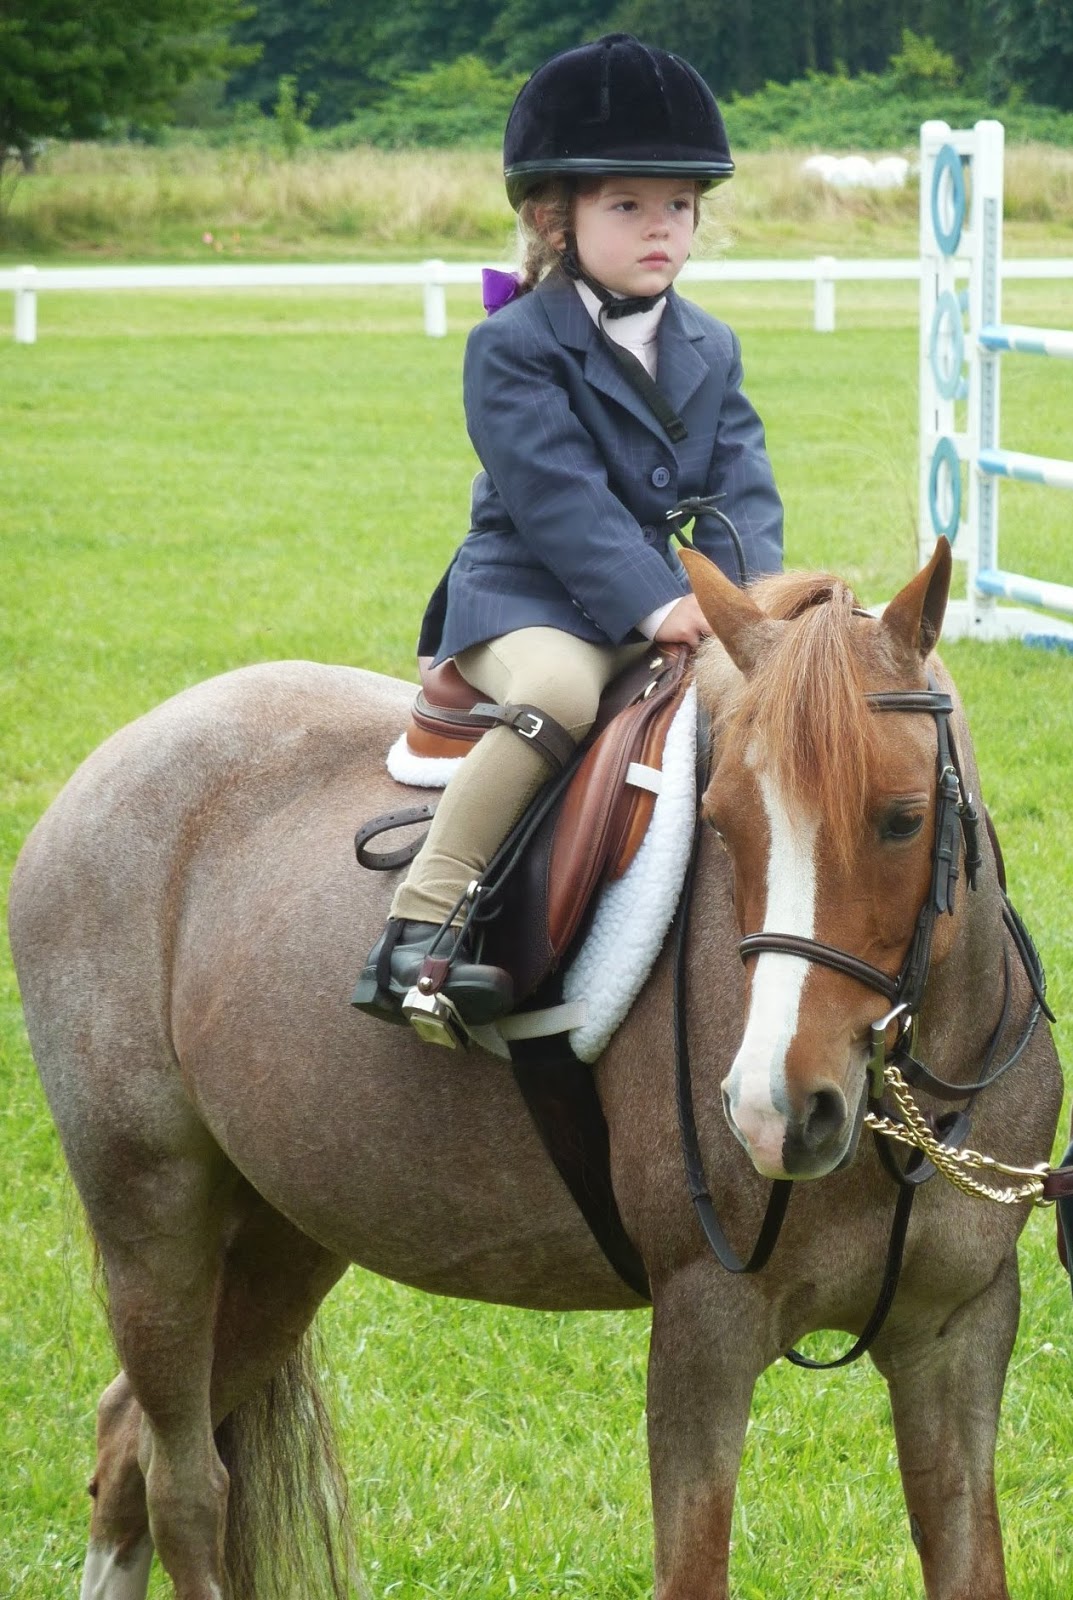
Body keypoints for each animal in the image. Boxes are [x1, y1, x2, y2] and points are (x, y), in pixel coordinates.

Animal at [9, 536, 1063, 1600]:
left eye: (902, 819)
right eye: (722, 819)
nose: (774, 1109)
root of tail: (114, 761)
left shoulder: (957, 1335)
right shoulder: (704, 1334)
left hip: (281, 1238)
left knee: (127, 1438)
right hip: (152, 1219)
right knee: (184, 1485)